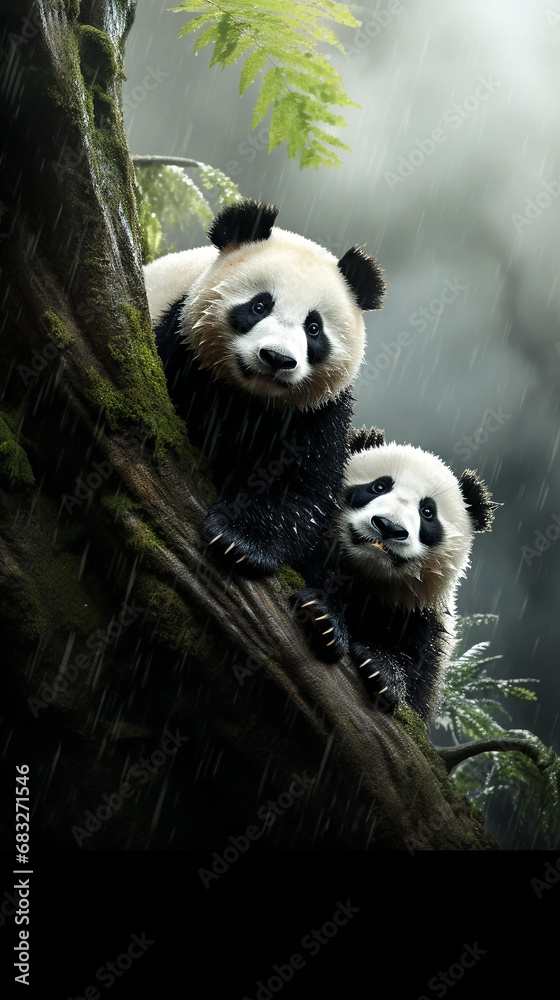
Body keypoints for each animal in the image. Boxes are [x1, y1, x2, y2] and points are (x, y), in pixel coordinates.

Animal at [144, 199, 385, 578]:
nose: (277, 358)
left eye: (313, 328)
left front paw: (241, 541)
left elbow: (301, 488)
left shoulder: (316, 414)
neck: (250, 399)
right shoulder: (179, 350)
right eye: (259, 306)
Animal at [292, 427, 500, 721]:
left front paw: (383, 669)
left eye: (427, 512)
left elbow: (416, 685)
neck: (367, 577)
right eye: (379, 487)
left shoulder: (422, 623)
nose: (388, 527)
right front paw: (324, 616)